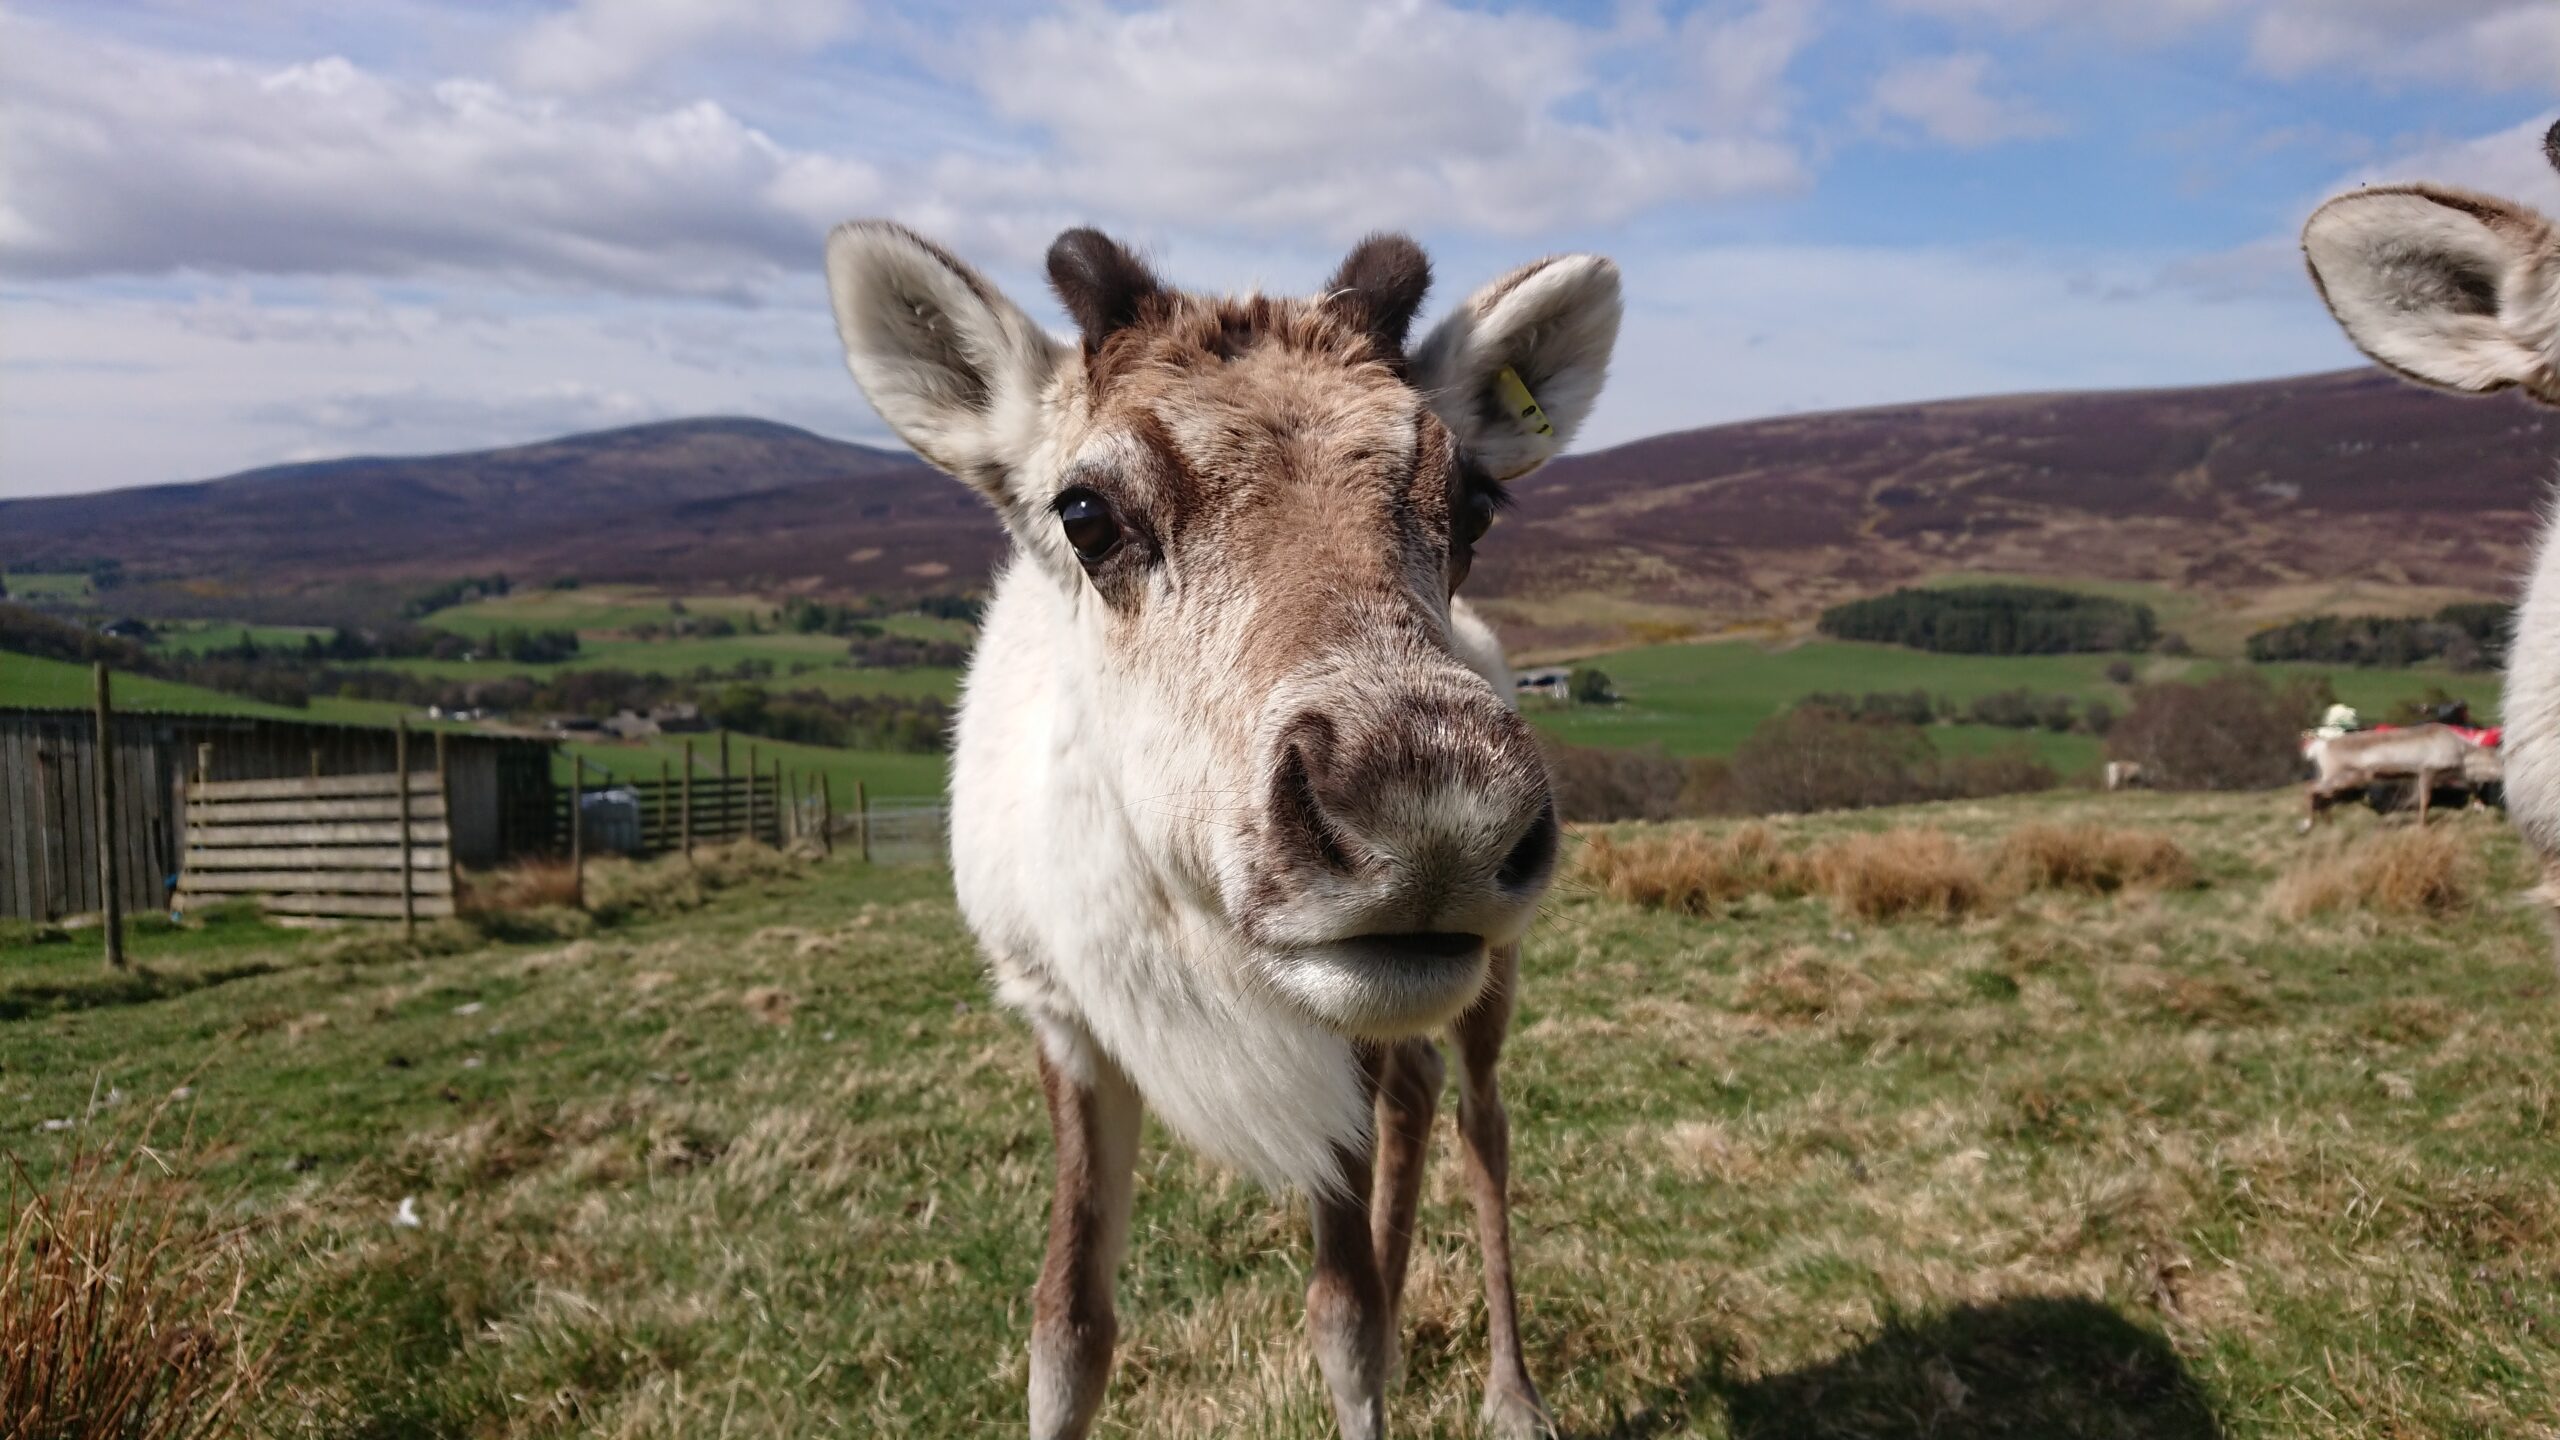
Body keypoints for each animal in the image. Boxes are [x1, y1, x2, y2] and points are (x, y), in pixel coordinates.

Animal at [822, 220, 1620, 1439]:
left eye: (1476, 503)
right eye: (1085, 513)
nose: (1433, 809)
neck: (1176, 935)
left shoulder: (1336, 1032)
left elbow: (1344, 1324)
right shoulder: (1061, 1017)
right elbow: (1066, 1332)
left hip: (1492, 972)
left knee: (1482, 1125)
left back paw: (1510, 1392)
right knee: (1418, 1095)